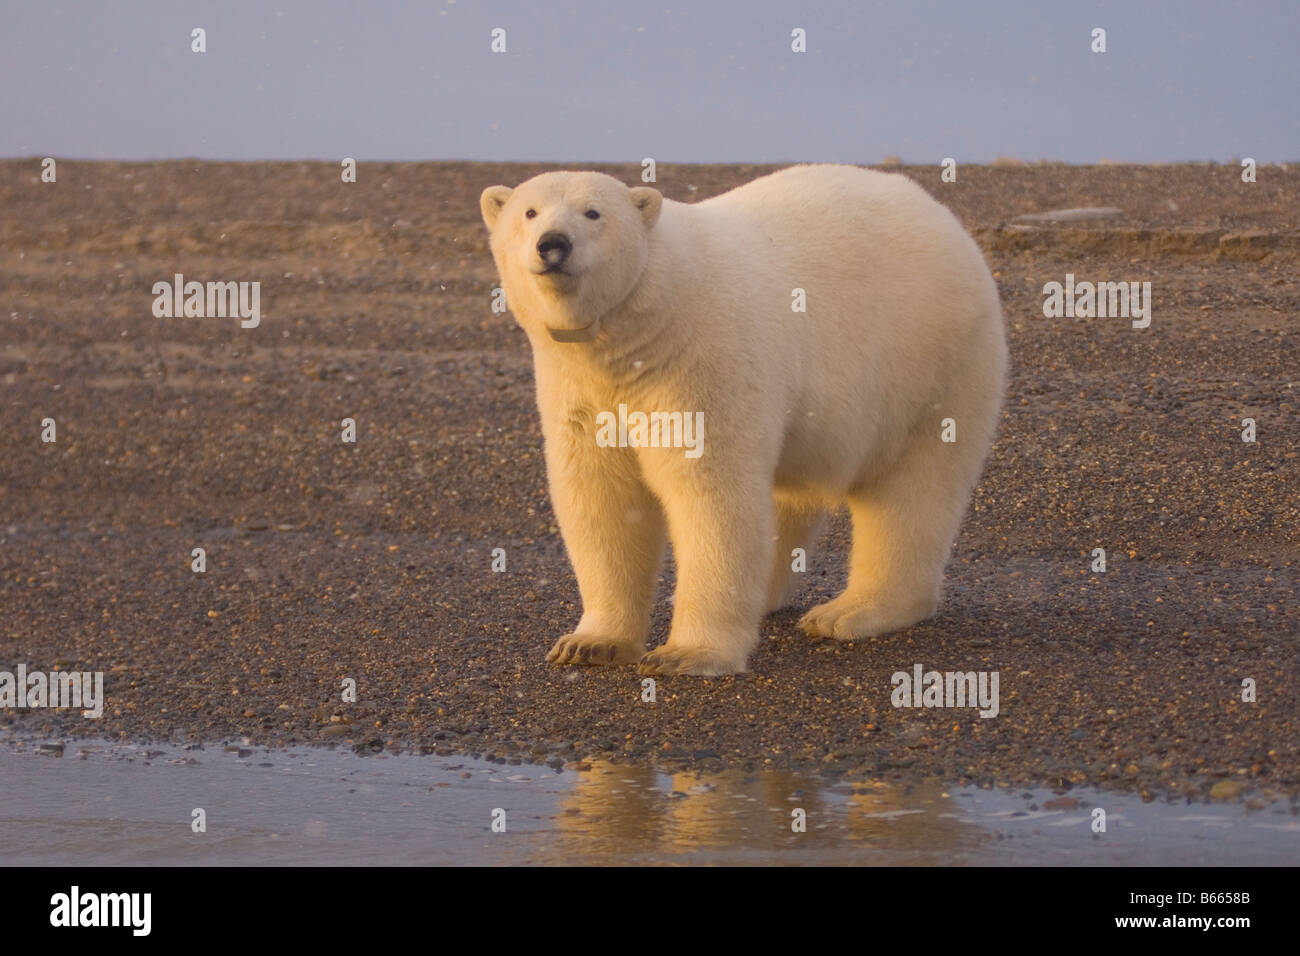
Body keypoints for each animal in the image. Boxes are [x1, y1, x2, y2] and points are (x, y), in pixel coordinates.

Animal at [479, 164, 1006, 676]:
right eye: (529, 212)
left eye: (593, 213)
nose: (553, 243)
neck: (642, 332)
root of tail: (945, 219)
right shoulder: (582, 389)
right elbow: (603, 495)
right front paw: (590, 643)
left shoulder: (700, 363)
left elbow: (712, 497)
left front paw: (686, 654)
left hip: (928, 369)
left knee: (910, 492)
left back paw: (850, 612)